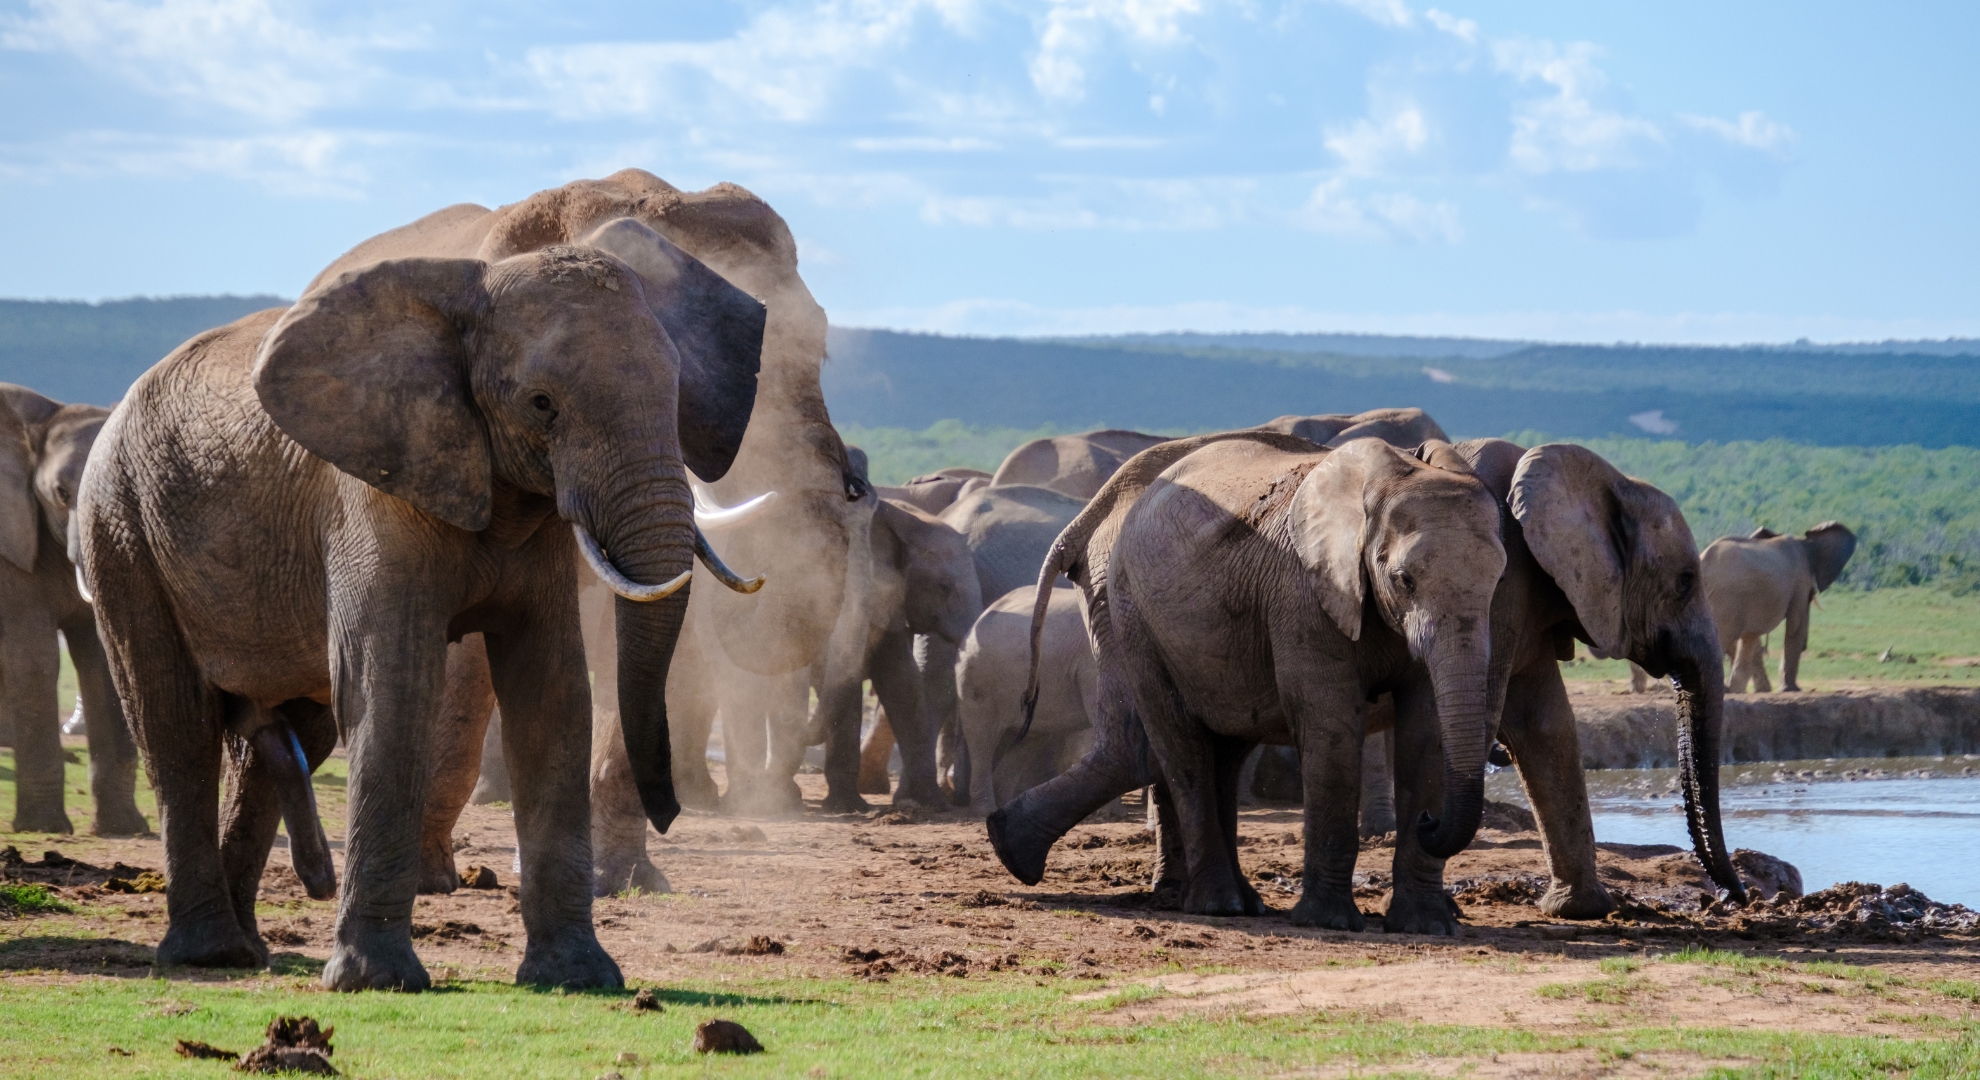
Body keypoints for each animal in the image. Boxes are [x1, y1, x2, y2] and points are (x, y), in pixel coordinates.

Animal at [0, 384, 147, 836]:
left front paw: (123, 828)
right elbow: (36, 658)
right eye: (61, 495)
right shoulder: (13, 545)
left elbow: (99, 659)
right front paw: (42, 827)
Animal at [80, 218, 764, 989]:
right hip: (119, 526)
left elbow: (552, 692)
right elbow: (395, 684)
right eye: (541, 404)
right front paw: (375, 980)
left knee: (287, 736)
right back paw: (209, 955)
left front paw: (577, 977)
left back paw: (249, 952)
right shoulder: (373, 490)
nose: (674, 811)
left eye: (678, 395)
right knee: (175, 723)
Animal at [1701, 523, 1856, 692]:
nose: (1805, 646)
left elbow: (1751, 637)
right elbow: (1795, 625)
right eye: (1811, 594)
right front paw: (1791, 689)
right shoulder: (1800, 580)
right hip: (1726, 599)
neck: (1804, 542)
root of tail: (1703, 561)